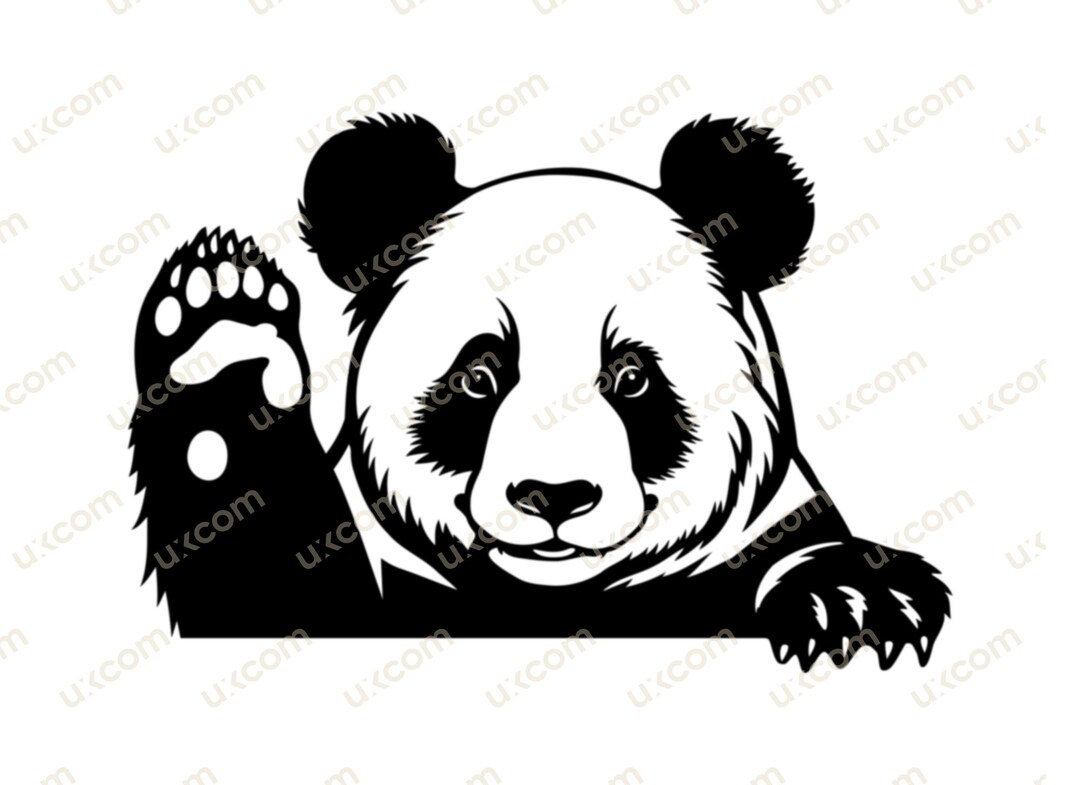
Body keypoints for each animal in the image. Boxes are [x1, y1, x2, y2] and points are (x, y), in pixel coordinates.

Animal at [130, 114, 949, 669]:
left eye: (631, 378)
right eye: (479, 377)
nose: (553, 497)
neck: (555, 600)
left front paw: (853, 602)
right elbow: (266, 596)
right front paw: (220, 323)